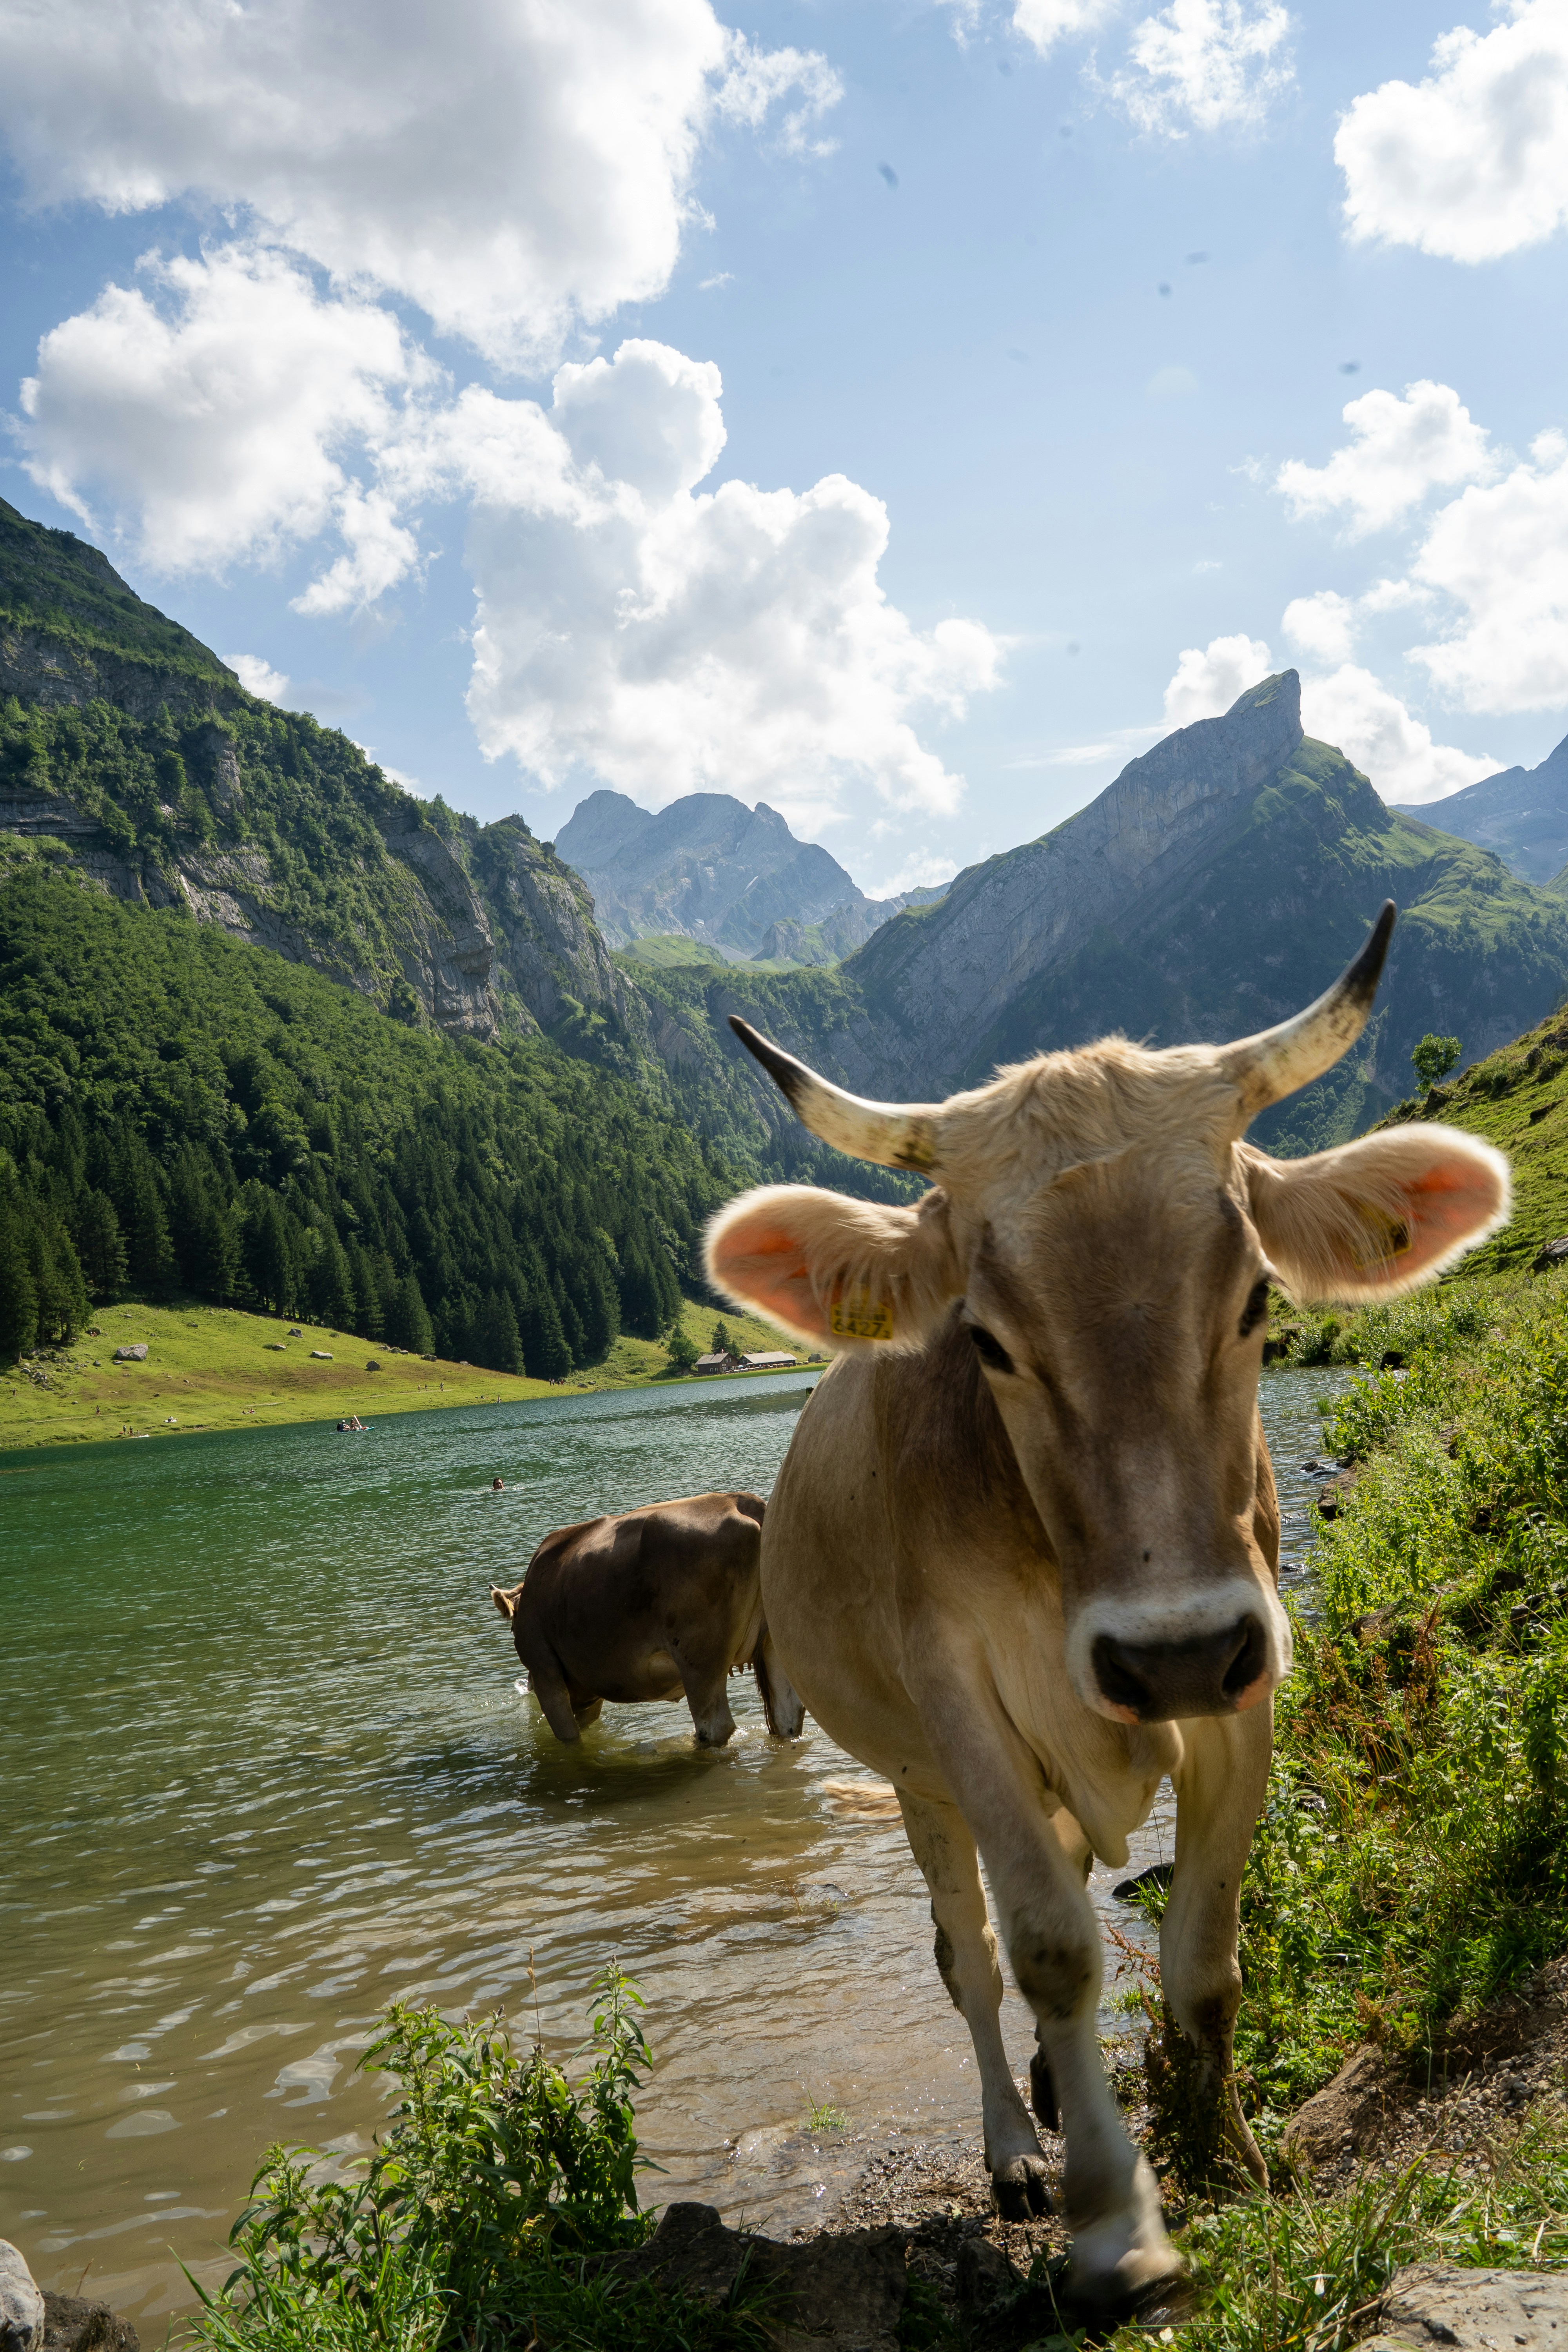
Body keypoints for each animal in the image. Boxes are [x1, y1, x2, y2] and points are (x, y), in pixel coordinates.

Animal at [491, 1489, 804, 1747]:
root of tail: (741, 1502)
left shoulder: (546, 1673)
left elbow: (569, 1739)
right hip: (777, 1644)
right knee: (788, 1716)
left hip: (700, 1661)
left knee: (716, 1726)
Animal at [703, 904, 1508, 2315]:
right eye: (987, 1341)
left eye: (1256, 1299)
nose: (1170, 1652)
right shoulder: (962, 1710)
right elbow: (1052, 1952)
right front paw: (1112, 2225)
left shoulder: (1248, 1686)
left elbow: (1206, 1956)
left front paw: (1230, 2155)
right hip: (915, 1780)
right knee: (969, 1957)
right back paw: (1018, 2145)